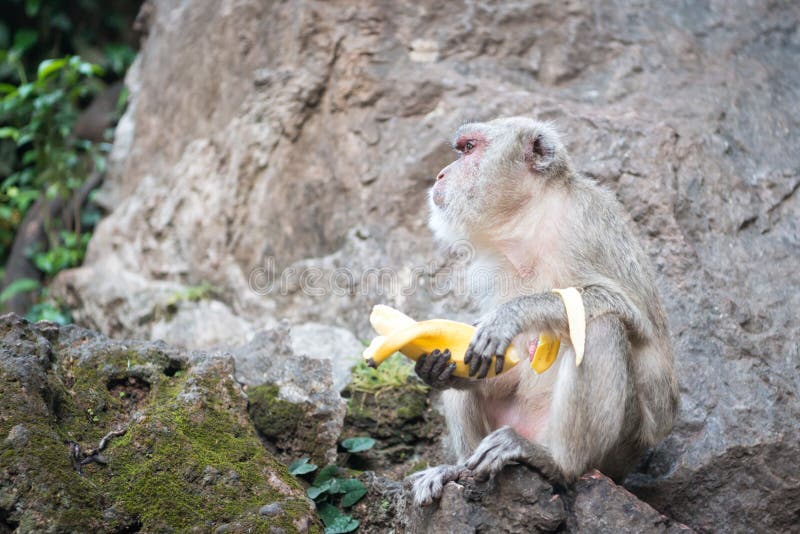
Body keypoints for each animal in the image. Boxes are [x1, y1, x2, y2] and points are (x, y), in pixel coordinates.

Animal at [407, 117, 679, 505]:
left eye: (469, 148)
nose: (442, 174)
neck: (530, 220)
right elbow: (500, 360)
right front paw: (440, 369)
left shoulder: (586, 223)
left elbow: (629, 312)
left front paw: (513, 314)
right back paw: (459, 468)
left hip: (622, 449)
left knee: (600, 327)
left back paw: (557, 463)